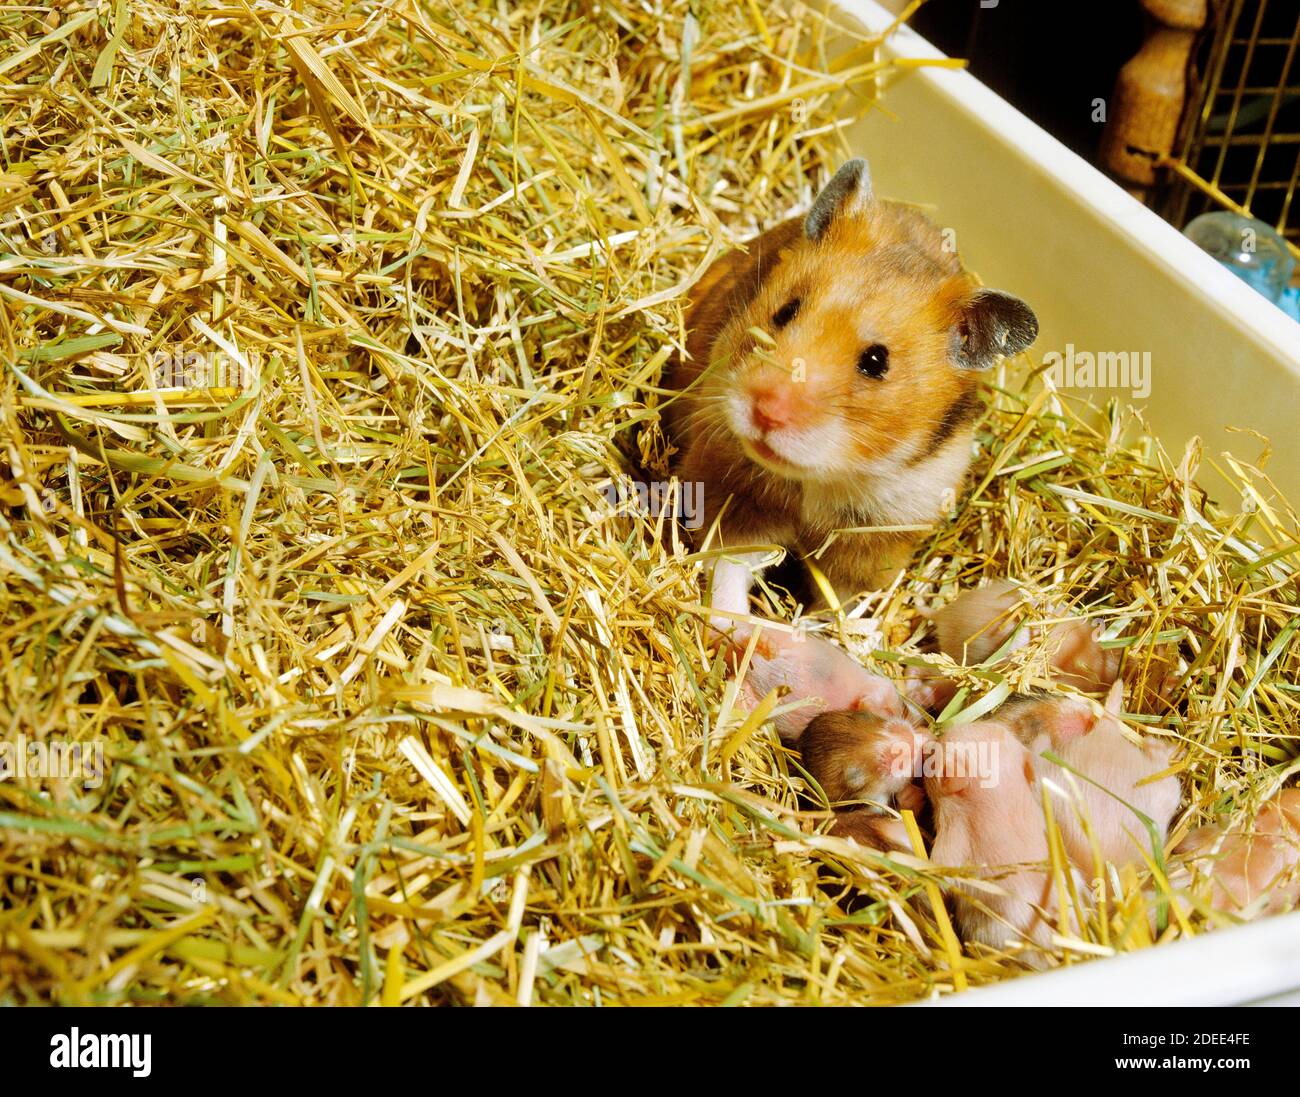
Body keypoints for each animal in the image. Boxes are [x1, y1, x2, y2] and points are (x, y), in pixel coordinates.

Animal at [667, 160, 1039, 620]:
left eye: (877, 362)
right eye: (785, 311)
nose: (766, 412)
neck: (822, 476)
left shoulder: (875, 542)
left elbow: (836, 606)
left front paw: (808, 629)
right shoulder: (730, 496)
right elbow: (728, 572)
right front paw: (736, 627)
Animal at [726, 623, 906, 742]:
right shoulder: (880, 687)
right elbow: (876, 700)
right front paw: (867, 705)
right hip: (788, 637)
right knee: (741, 637)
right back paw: (765, 645)